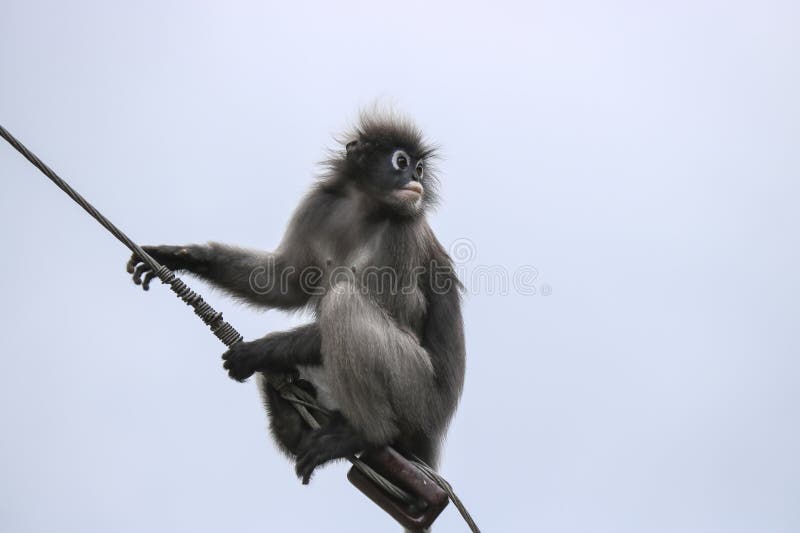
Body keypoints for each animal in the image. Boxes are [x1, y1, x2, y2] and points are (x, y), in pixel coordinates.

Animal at [126, 110, 465, 487]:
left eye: (418, 167)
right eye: (402, 162)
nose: (414, 178)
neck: (365, 206)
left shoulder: (402, 231)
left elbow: (404, 320)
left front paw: (256, 352)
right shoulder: (319, 204)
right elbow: (282, 282)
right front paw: (182, 256)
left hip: (416, 394)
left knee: (344, 302)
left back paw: (366, 434)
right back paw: (290, 419)